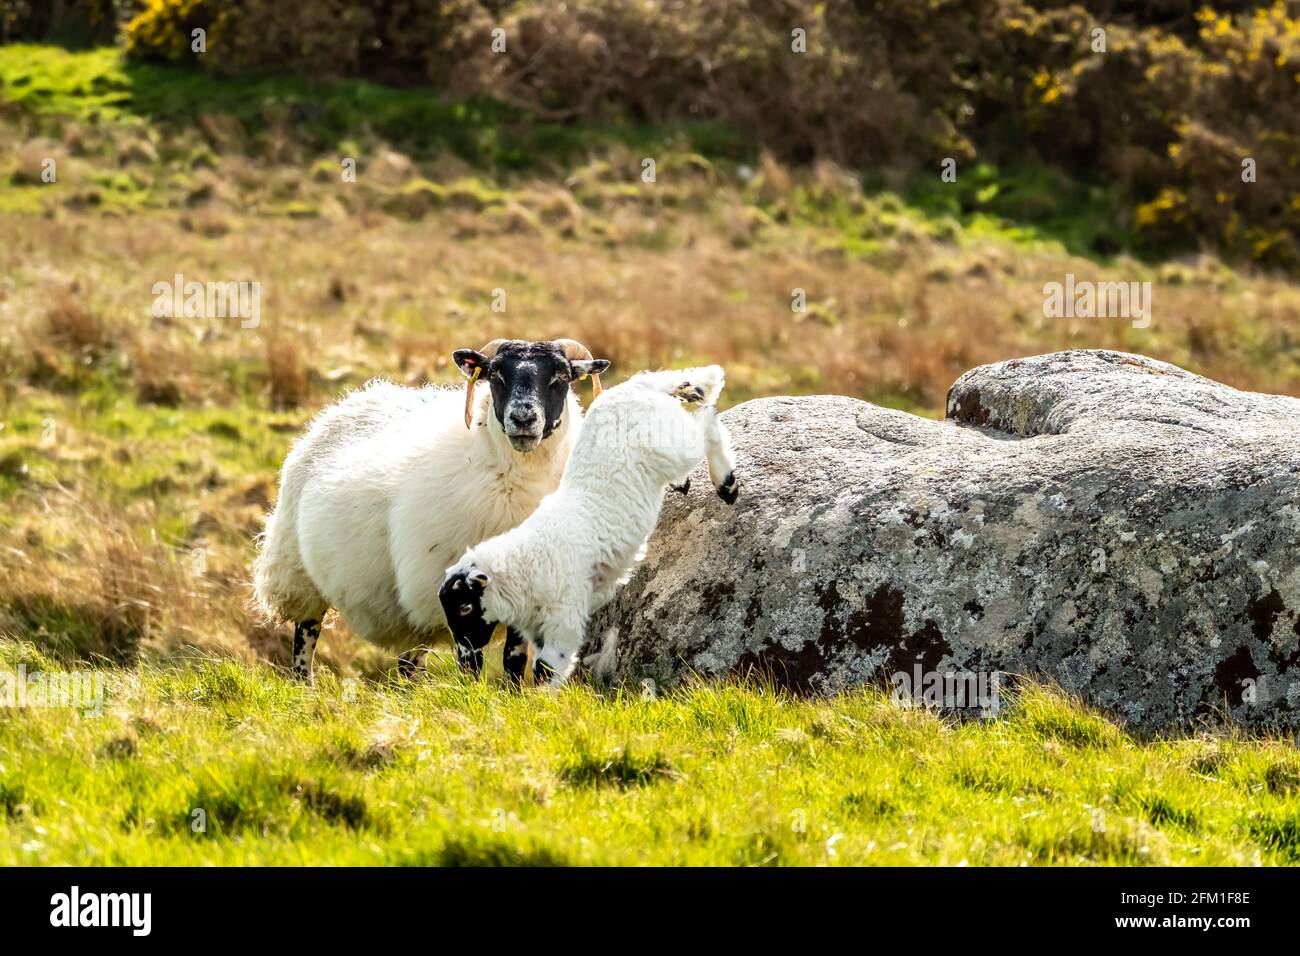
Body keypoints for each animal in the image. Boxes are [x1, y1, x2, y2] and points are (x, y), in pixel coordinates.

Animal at [251, 338, 610, 683]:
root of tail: (354, 400)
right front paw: (472, 696)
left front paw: (512, 695)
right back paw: (305, 685)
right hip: (300, 571)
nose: (523, 418)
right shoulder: (457, 591)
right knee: (305, 635)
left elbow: (513, 658)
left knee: (409, 659)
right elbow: (470, 658)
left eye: (561, 375)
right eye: (495, 374)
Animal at [439, 364, 739, 687]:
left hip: (670, 445)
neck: (526, 562)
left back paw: (727, 484)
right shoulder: (536, 627)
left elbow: (545, 670)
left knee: (706, 421)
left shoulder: (564, 619)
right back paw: (687, 481)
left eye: (465, 607)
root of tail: (635, 386)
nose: (466, 664)